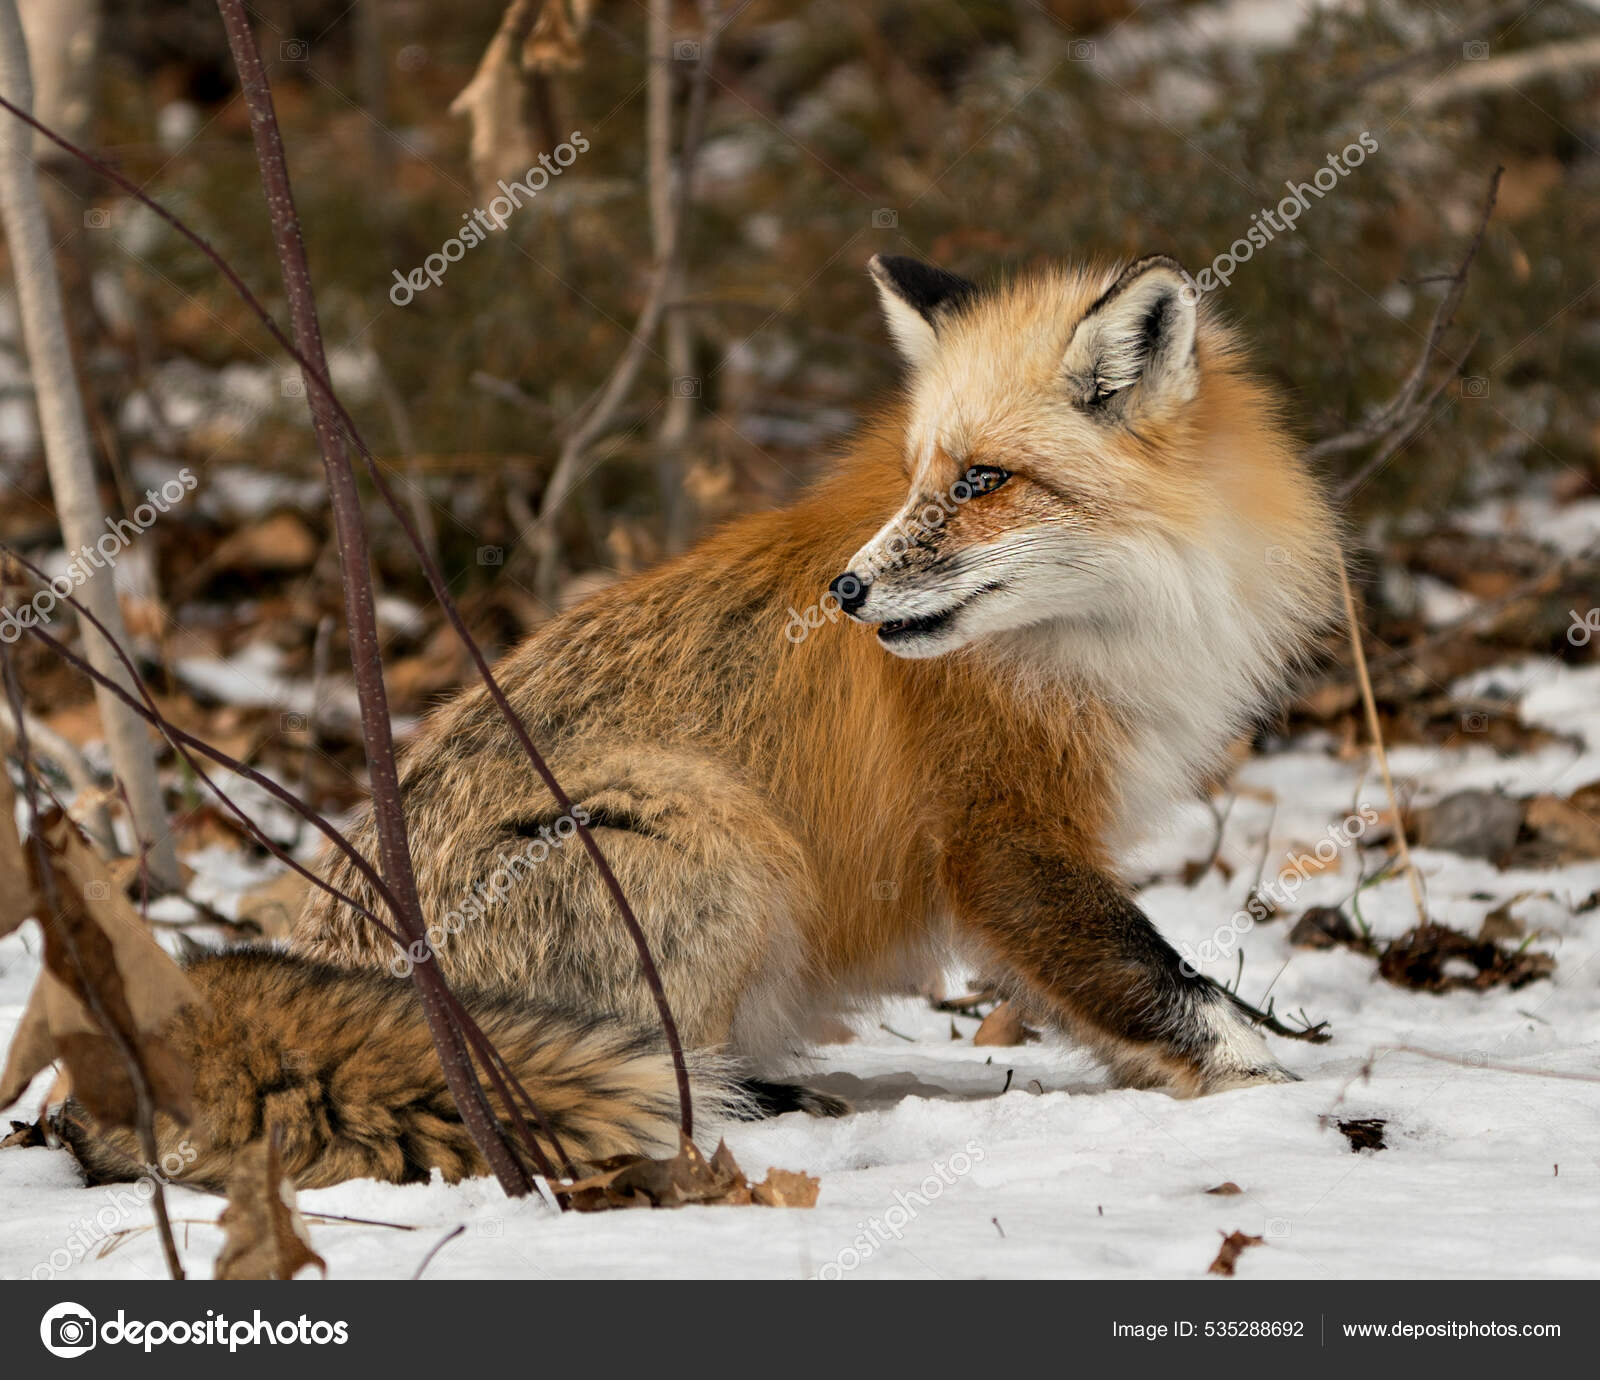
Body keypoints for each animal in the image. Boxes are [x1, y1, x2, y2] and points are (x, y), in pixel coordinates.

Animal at [63, 253, 1341, 1192]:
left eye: (981, 481)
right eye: (919, 478)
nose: (847, 592)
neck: (1102, 630)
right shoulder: (998, 837)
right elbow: (1162, 980)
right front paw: (1279, 1084)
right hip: (713, 832)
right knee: (646, 1083)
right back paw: (751, 1103)